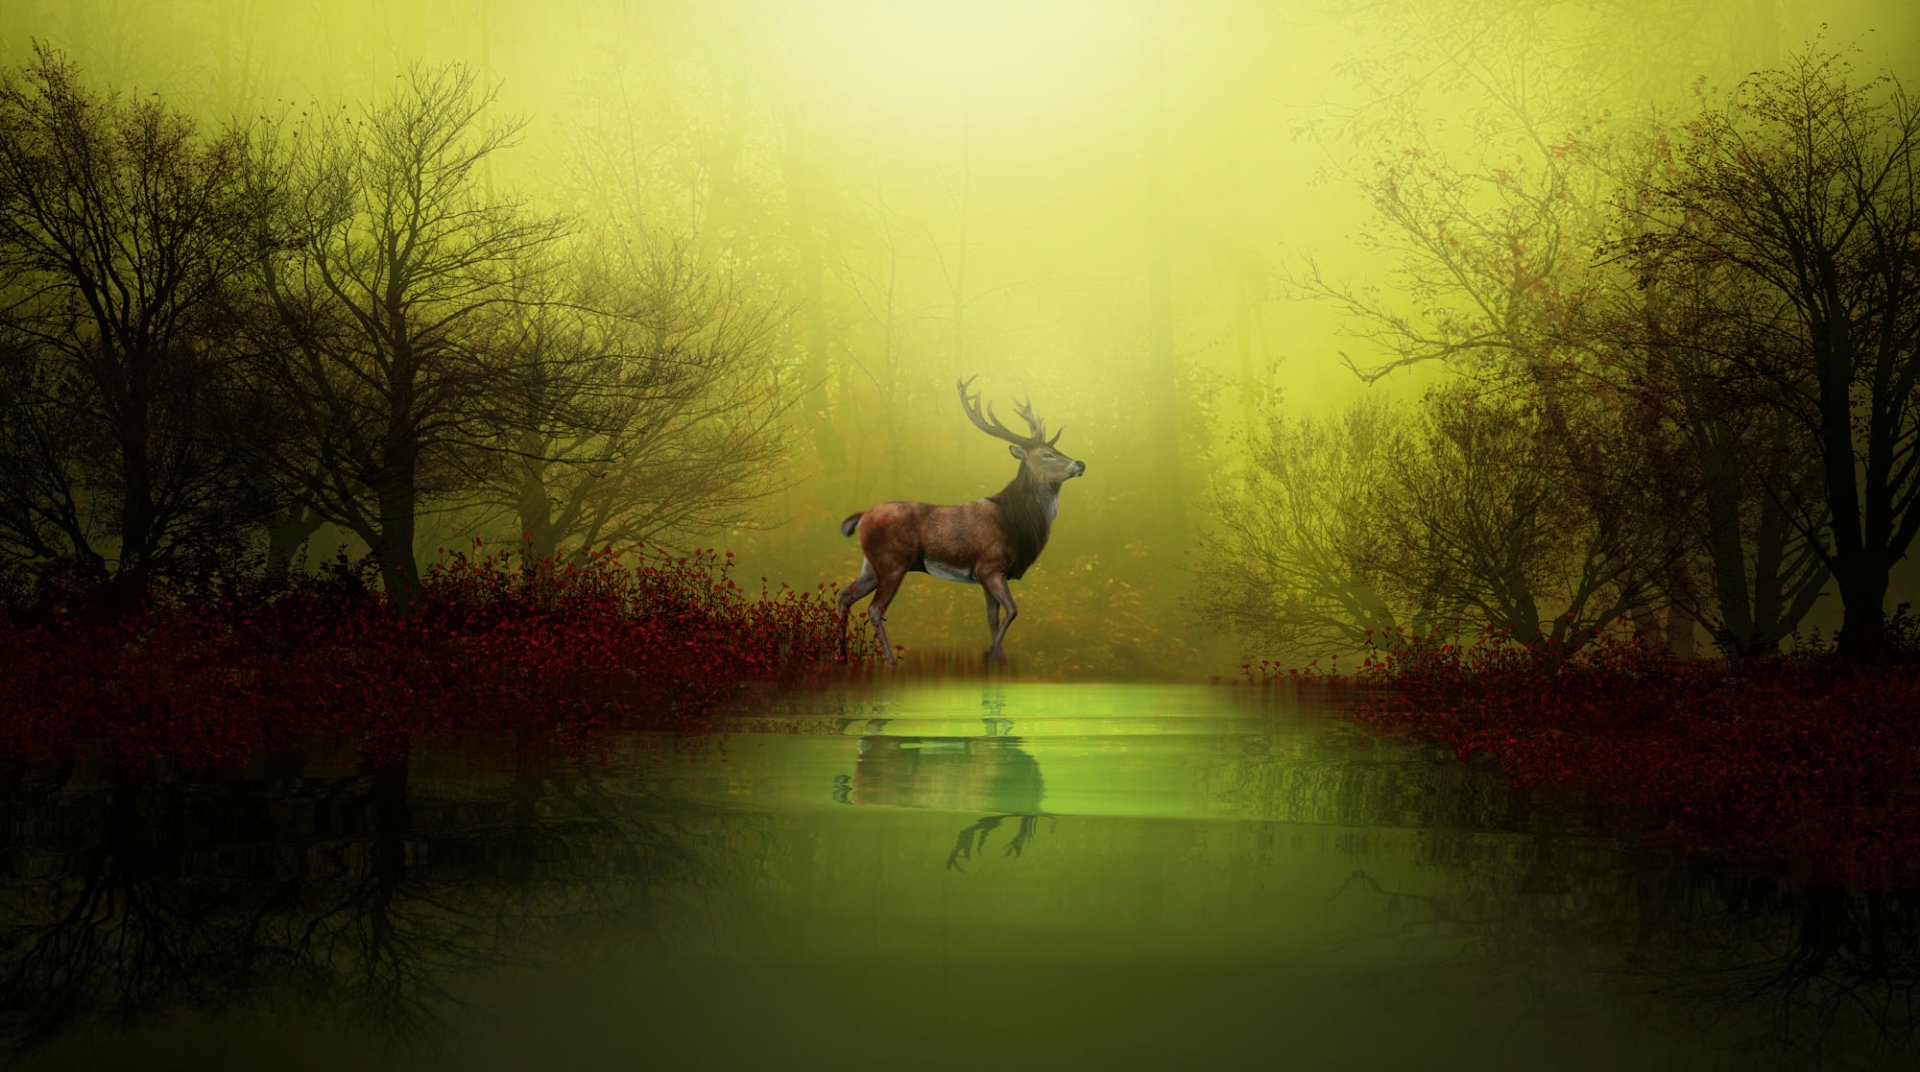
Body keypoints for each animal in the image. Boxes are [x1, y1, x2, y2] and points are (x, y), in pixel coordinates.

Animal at [836, 377, 1086, 665]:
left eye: (1056, 448)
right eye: (1047, 454)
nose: (1080, 464)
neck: (1015, 523)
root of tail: (862, 516)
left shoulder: (986, 576)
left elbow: (993, 618)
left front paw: (997, 660)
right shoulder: (990, 566)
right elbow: (1012, 611)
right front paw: (990, 656)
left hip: (871, 565)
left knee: (845, 596)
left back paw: (842, 657)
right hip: (892, 562)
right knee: (875, 608)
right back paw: (889, 661)